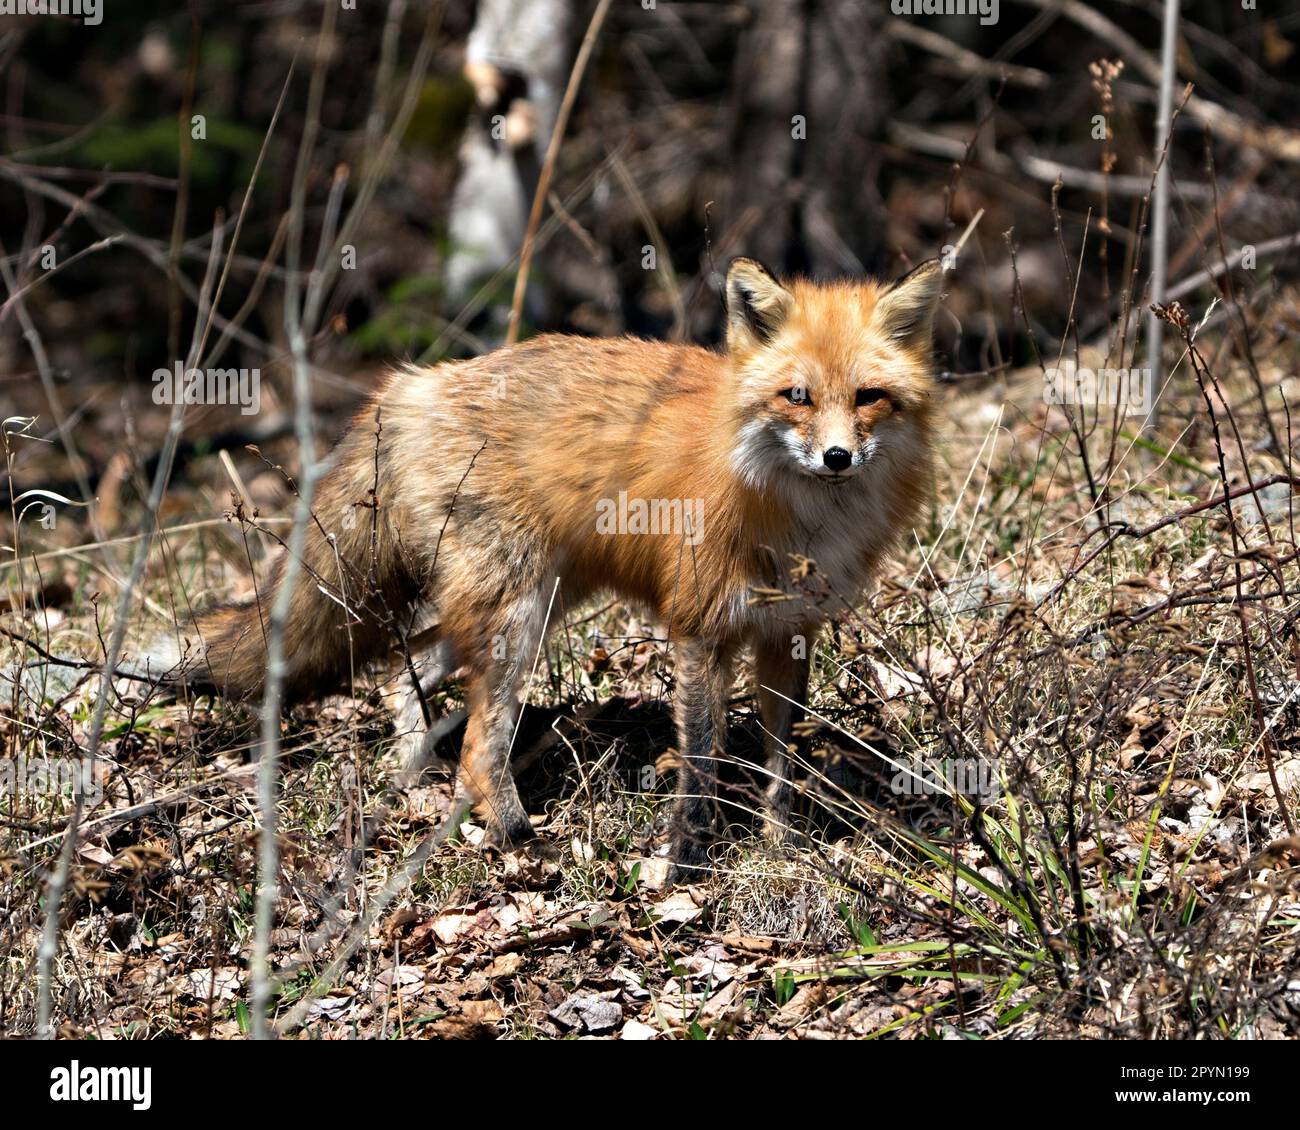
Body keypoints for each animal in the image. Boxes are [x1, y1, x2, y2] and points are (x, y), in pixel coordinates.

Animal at [177, 257, 943, 878]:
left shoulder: (790, 633)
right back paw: (516, 836)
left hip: (532, 605)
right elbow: (700, 764)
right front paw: (689, 864)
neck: (796, 515)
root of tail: (413, 386)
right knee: (477, 744)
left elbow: (782, 764)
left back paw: (414, 781)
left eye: (868, 397)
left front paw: (780, 846)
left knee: (404, 669)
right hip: (518, 615)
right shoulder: (699, 628)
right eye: (797, 397)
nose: (837, 458)